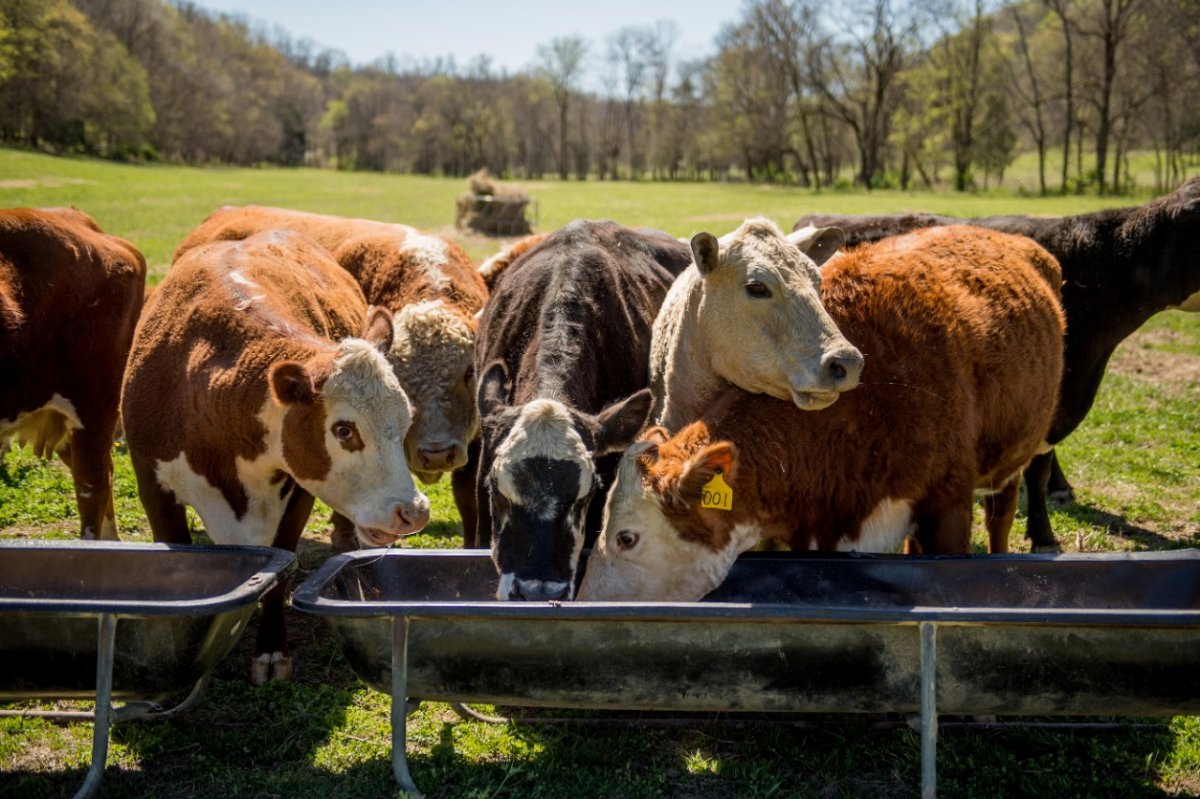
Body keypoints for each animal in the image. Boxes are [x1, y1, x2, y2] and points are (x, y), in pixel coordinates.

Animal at [122, 230, 430, 682]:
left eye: (405, 419)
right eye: (344, 430)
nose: (413, 512)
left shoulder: (299, 492)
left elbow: (281, 566)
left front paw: (270, 649)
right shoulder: (152, 483)